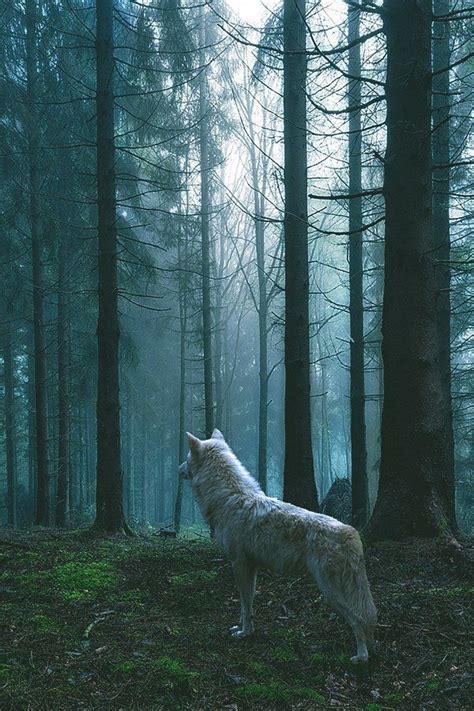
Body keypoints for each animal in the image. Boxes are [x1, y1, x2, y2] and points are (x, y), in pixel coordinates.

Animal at [179, 429, 377, 664]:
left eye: (187, 458)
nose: (178, 469)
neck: (231, 497)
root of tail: (351, 532)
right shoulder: (251, 567)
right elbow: (247, 604)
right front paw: (242, 628)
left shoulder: (239, 564)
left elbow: (244, 604)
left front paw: (245, 634)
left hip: (329, 591)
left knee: (358, 618)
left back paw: (361, 657)